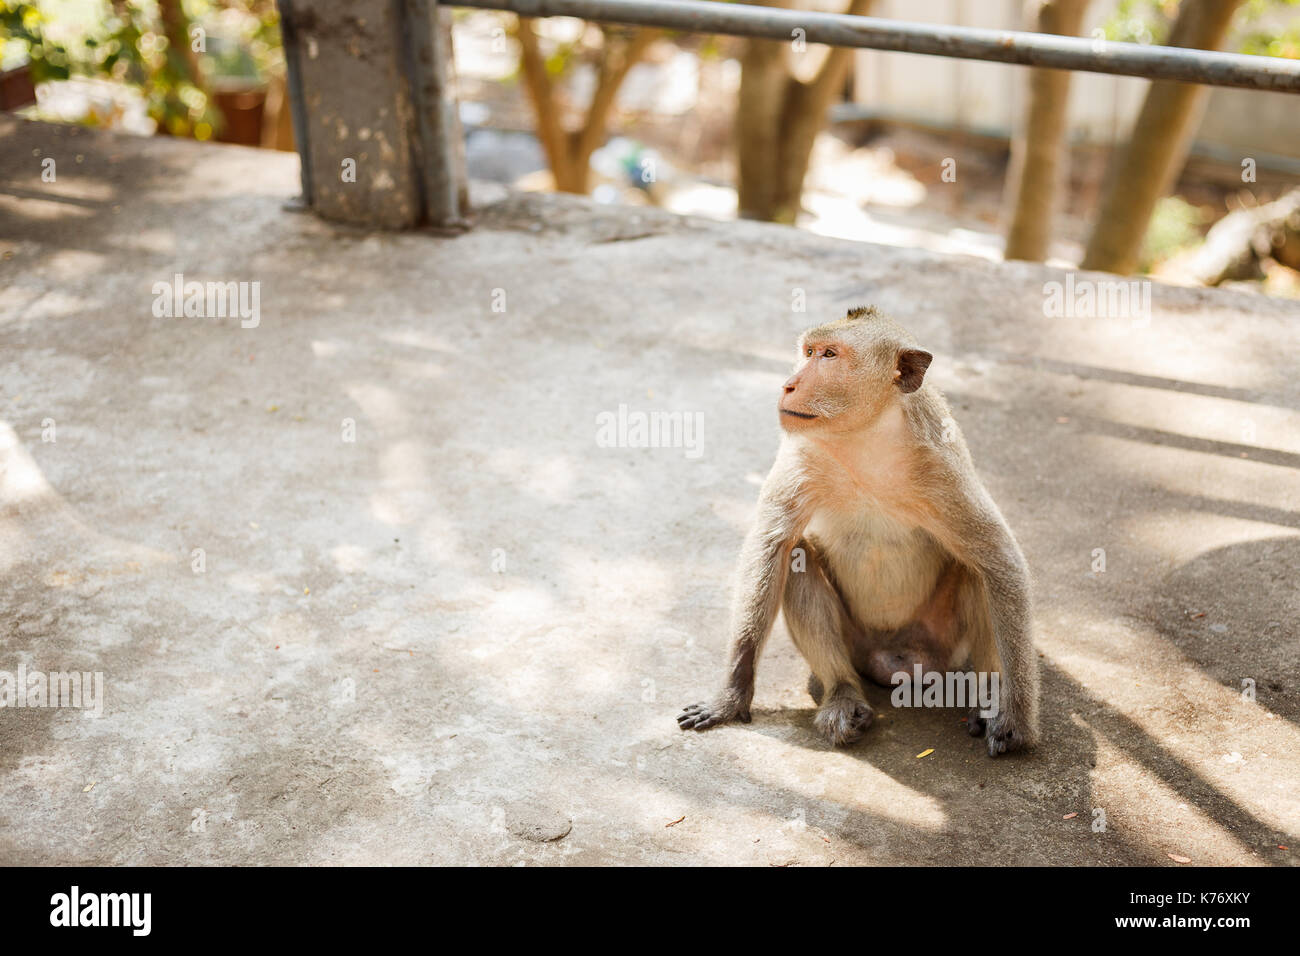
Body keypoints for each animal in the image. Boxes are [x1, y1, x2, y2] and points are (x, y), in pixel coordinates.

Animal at [677, 306, 1039, 757]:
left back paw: (987, 695)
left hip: (942, 640)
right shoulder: (802, 452)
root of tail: (897, 660)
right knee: (798, 558)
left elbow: (999, 560)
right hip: (858, 645)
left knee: (976, 569)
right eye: (809, 351)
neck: (865, 438)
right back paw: (843, 695)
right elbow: (772, 546)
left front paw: (1015, 717)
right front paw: (731, 695)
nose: (788, 384)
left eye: (830, 355)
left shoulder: (943, 465)